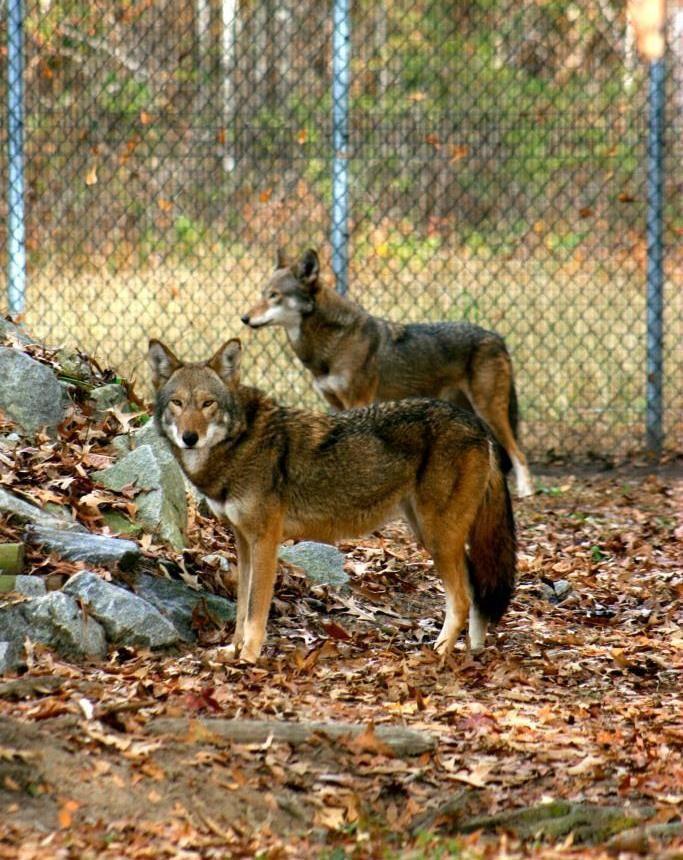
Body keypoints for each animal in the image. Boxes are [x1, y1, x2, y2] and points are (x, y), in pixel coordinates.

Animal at [148, 338, 516, 665]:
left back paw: (439, 652)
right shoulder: (243, 541)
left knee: (463, 598)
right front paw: (232, 650)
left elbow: (255, 609)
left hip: (437, 537)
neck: (240, 441)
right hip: (433, 536)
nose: (189, 437)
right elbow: (241, 607)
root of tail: (477, 424)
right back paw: (473, 648)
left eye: (208, 403)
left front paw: (249, 656)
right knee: (476, 589)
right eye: (177, 403)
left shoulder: (266, 540)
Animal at [241, 249, 534, 498]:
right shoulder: (335, 405)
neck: (330, 344)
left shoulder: (358, 401)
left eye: (274, 295)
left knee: (518, 452)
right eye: (262, 293)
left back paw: (525, 491)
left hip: (489, 409)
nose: (244, 318)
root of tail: (497, 337)